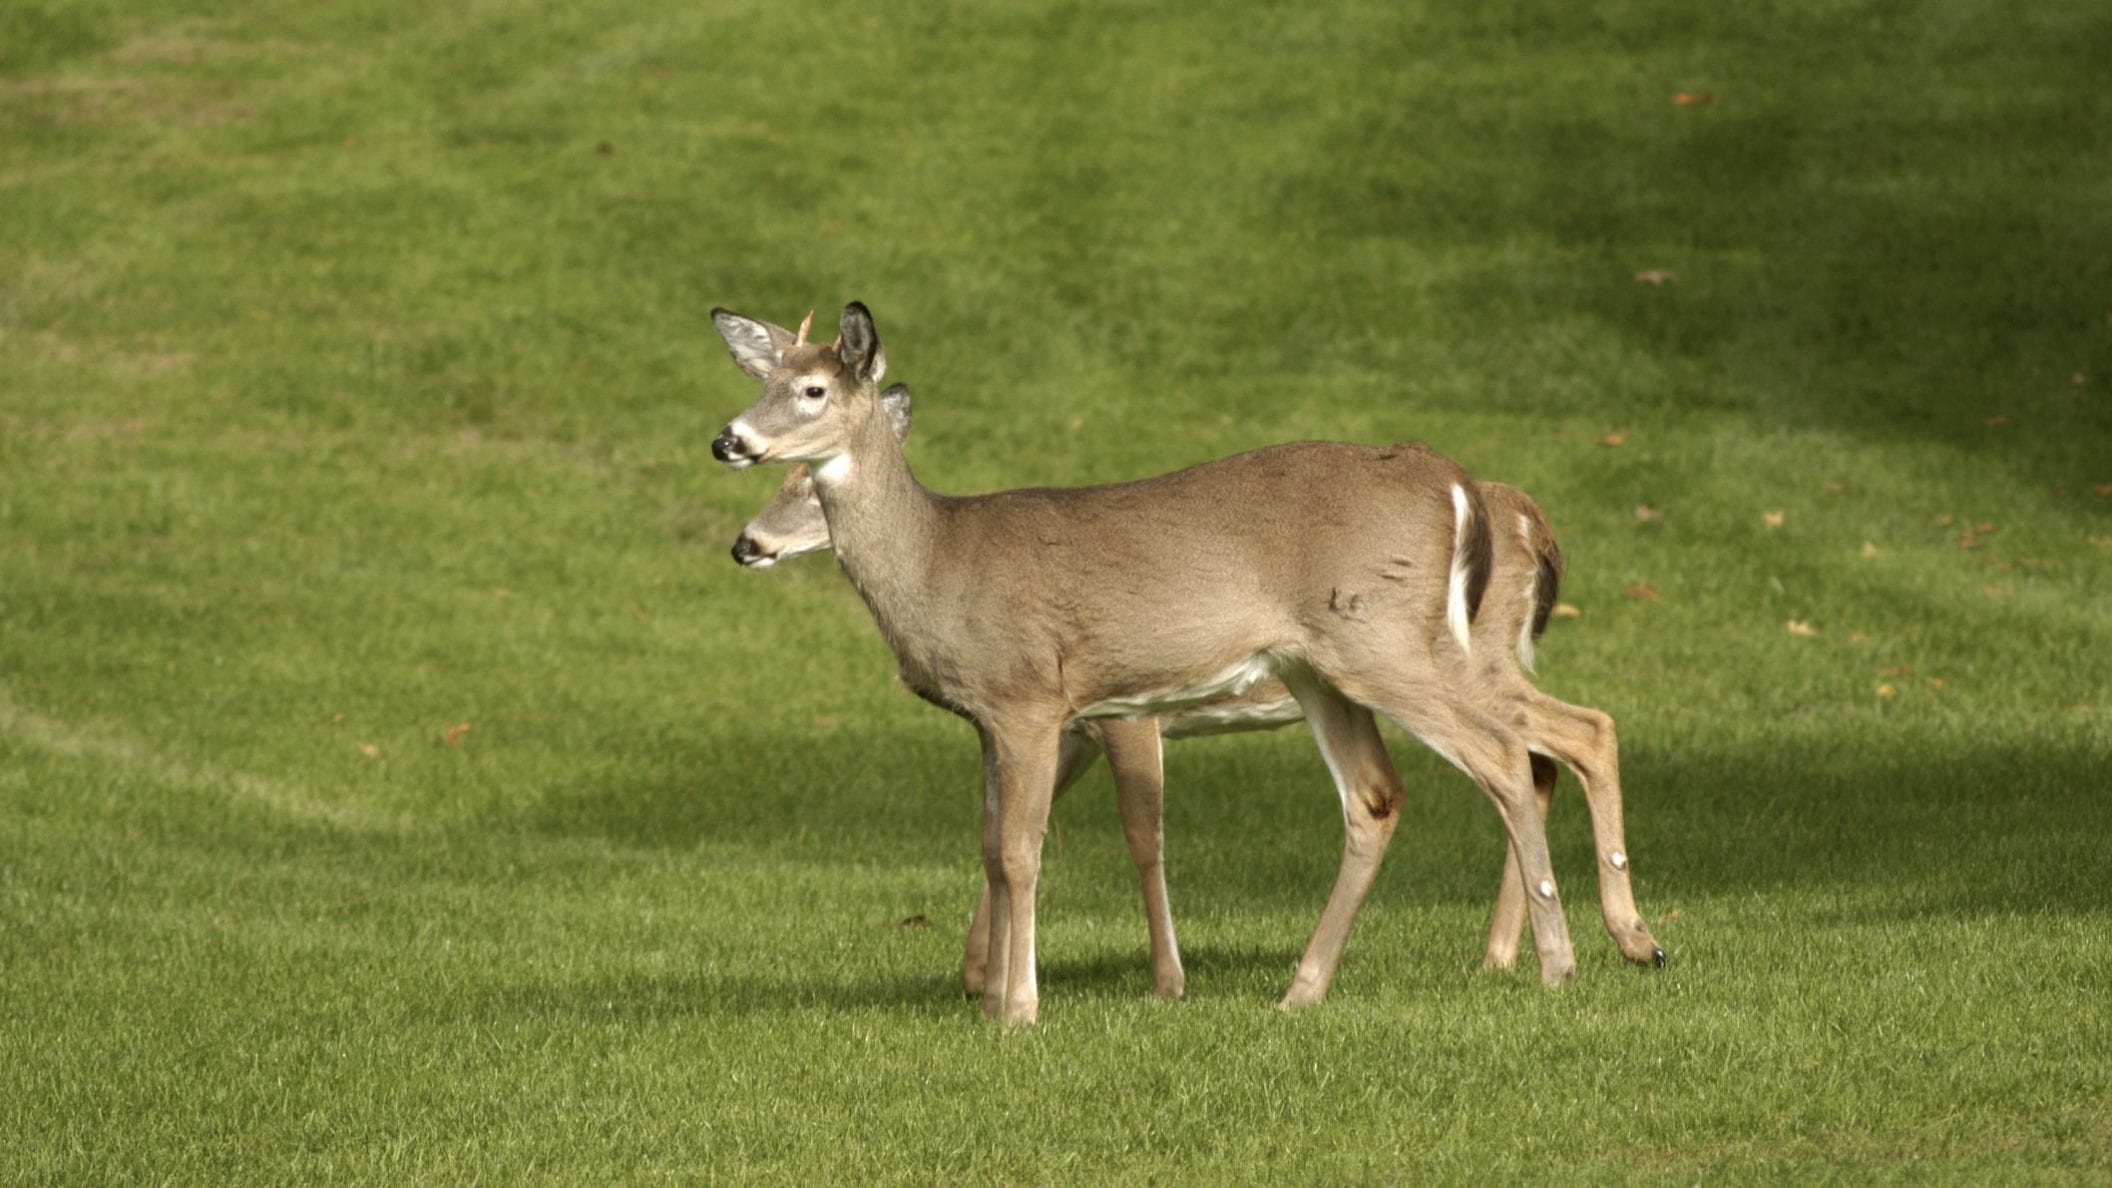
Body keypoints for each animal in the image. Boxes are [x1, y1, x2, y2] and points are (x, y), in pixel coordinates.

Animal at [710, 302, 1661, 1024]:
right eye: (759, 380)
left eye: (812, 389)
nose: (728, 441)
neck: (939, 561)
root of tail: (1459, 485)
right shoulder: (998, 718)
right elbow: (990, 846)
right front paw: (992, 998)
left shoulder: (1038, 699)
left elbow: (1028, 849)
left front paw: (1021, 1008)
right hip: (1329, 666)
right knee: (1403, 787)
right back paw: (1309, 989)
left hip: (1388, 642)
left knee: (1515, 753)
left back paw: (1567, 959)